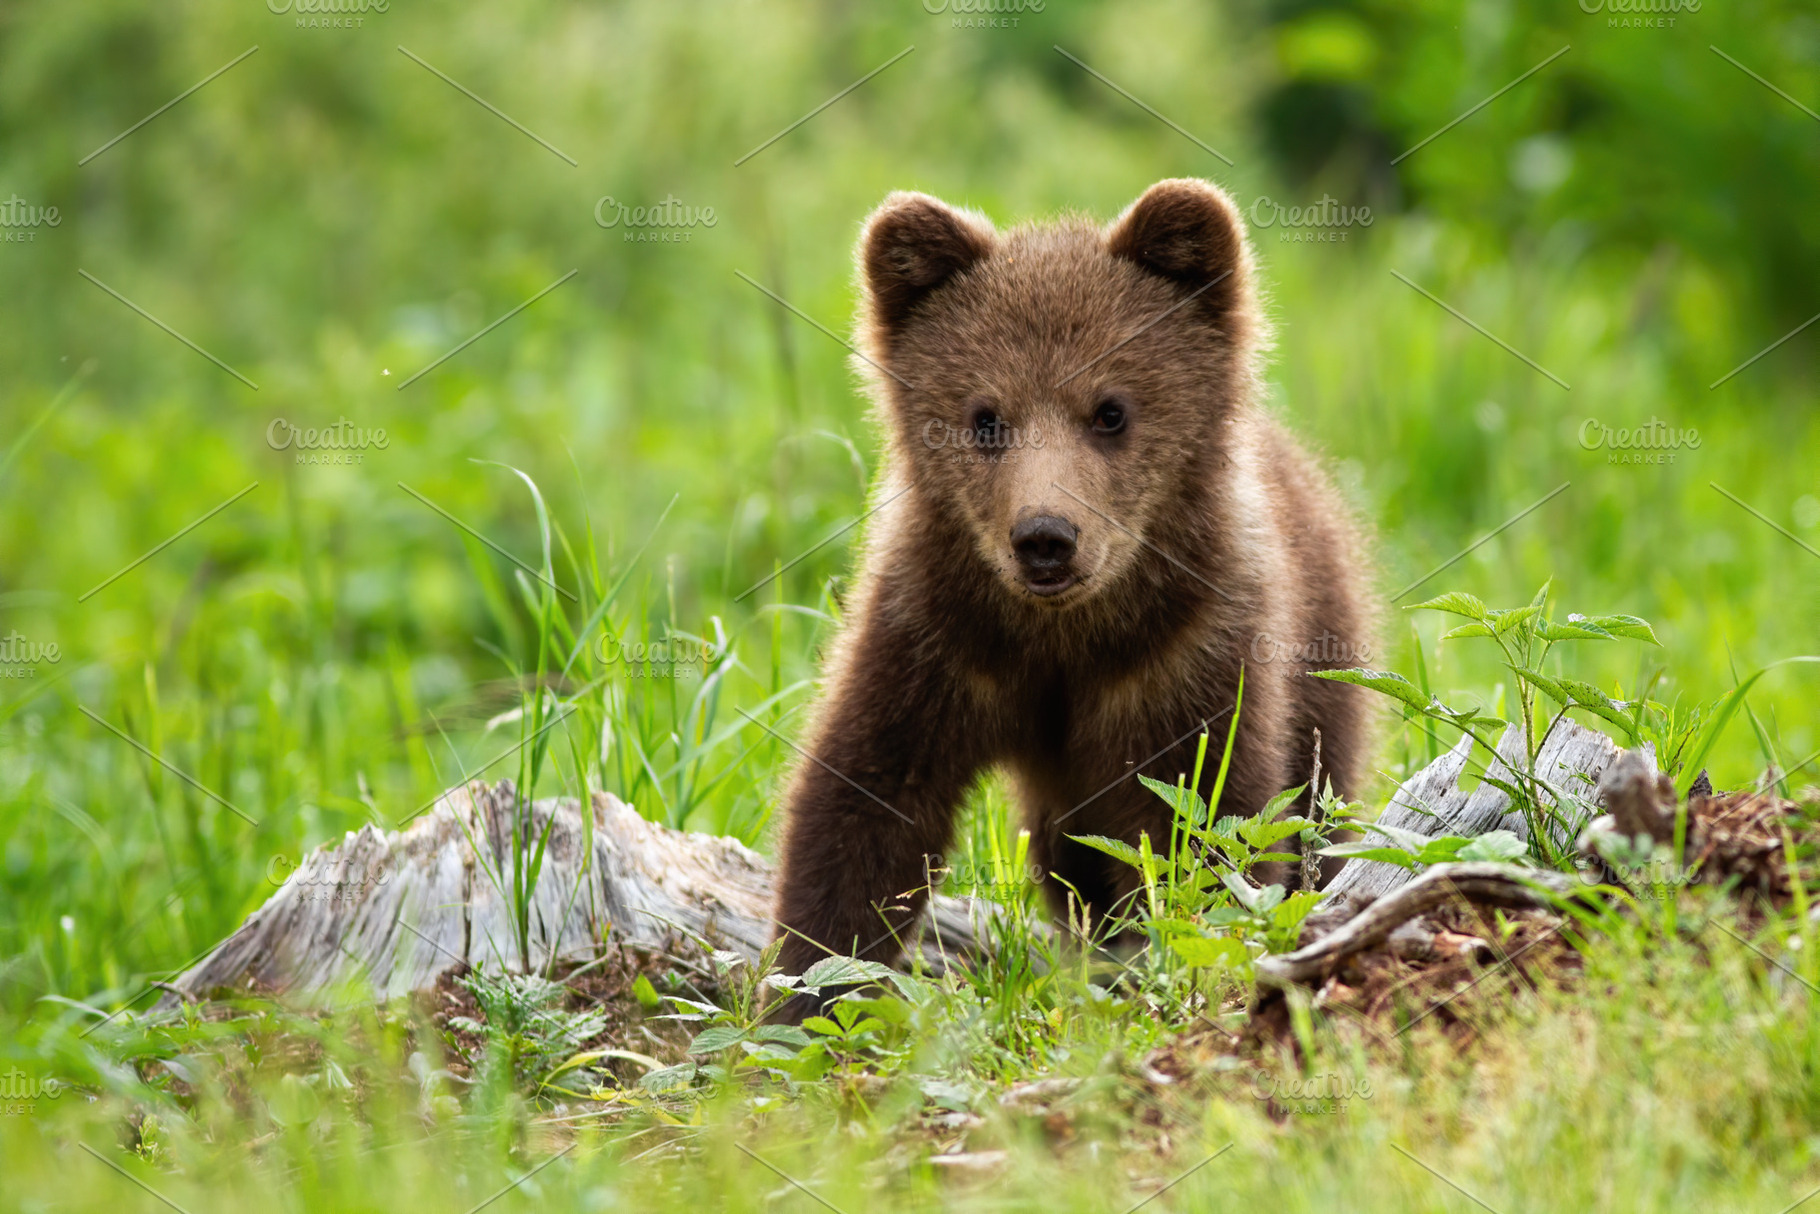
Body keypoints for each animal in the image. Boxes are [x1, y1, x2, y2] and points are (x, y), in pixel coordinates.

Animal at [769, 178, 1376, 1004]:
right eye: (985, 417)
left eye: (1111, 409)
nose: (1046, 536)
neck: (1061, 636)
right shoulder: (934, 637)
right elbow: (864, 801)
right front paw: (808, 986)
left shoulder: (1186, 653)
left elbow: (1210, 816)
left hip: (1323, 654)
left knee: (1318, 805)